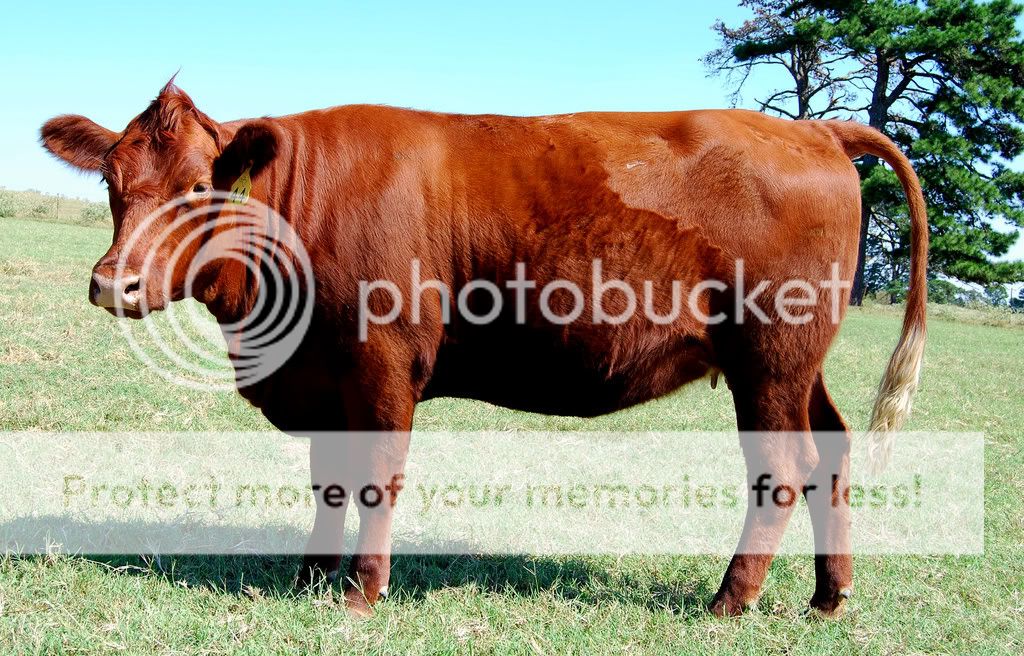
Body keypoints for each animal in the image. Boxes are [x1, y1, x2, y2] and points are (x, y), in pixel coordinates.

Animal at [40, 79, 927, 618]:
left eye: (199, 189)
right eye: (112, 185)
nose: (112, 284)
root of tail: (813, 131)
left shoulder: (382, 363)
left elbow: (375, 479)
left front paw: (361, 592)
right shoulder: (324, 377)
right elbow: (329, 482)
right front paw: (309, 576)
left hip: (769, 362)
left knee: (783, 471)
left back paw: (730, 601)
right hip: (799, 368)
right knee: (834, 454)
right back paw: (828, 595)